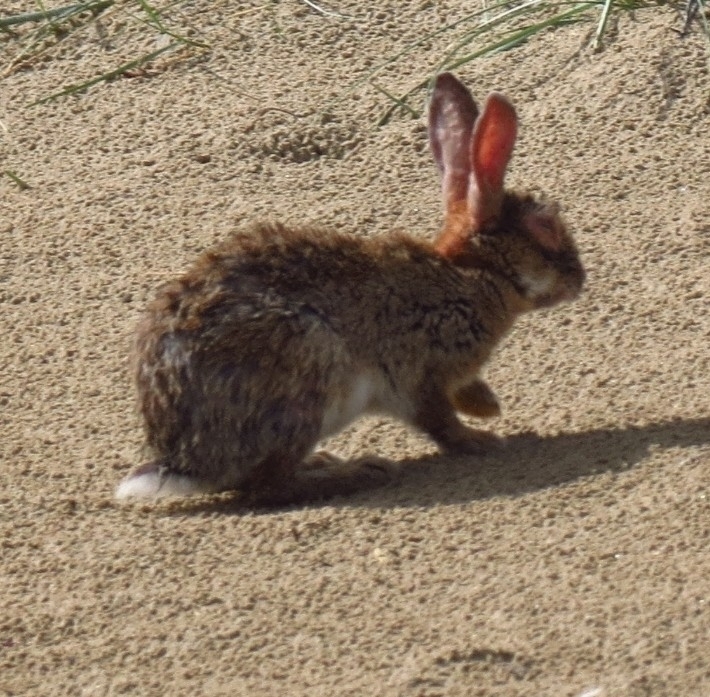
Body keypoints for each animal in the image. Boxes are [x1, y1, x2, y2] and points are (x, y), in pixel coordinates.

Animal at [115, 72, 585, 505]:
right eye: (546, 227)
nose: (579, 280)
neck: (473, 273)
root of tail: (185, 462)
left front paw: (488, 407)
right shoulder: (421, 371)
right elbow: (438, 420)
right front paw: (482, 440)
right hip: (304, 374)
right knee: (265, 487)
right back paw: (360, 472)